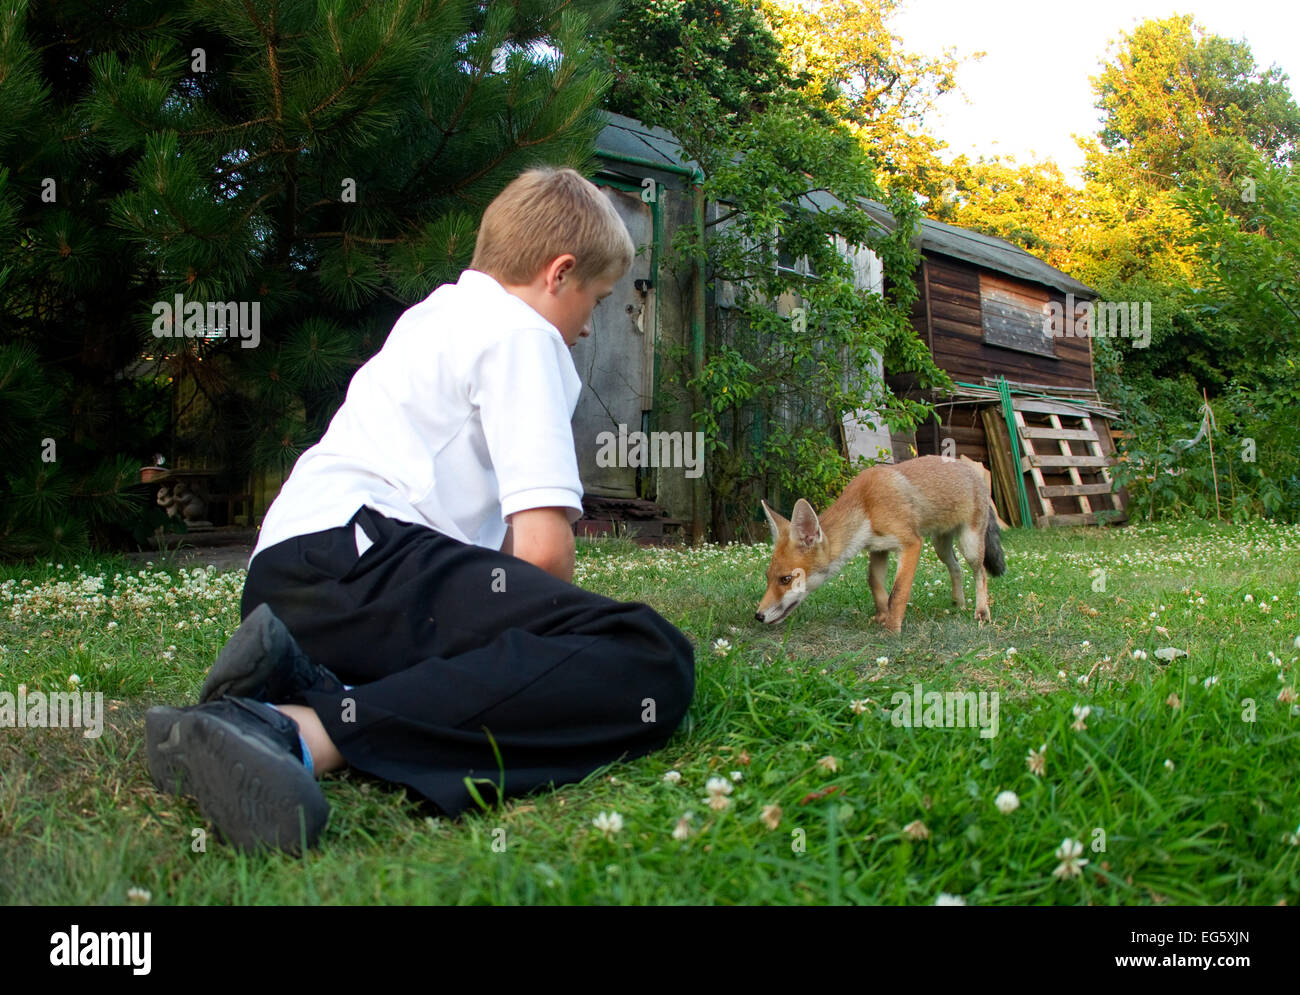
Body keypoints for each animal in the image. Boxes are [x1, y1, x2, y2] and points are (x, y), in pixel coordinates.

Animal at [755, 455, 1007, 633]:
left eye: (786, 579)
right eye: (767, 577)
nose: (758, 616)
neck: (866, 505)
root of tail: (972, 470)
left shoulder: (911, 543)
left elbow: (898, 593)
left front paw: (892, 629)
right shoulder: (879, 549)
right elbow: (875, 583)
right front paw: (882, 616)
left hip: (970, 545)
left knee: (980, 573)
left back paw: (981, 611)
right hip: (941, 547)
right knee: (955, 567)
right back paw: (958, 603)